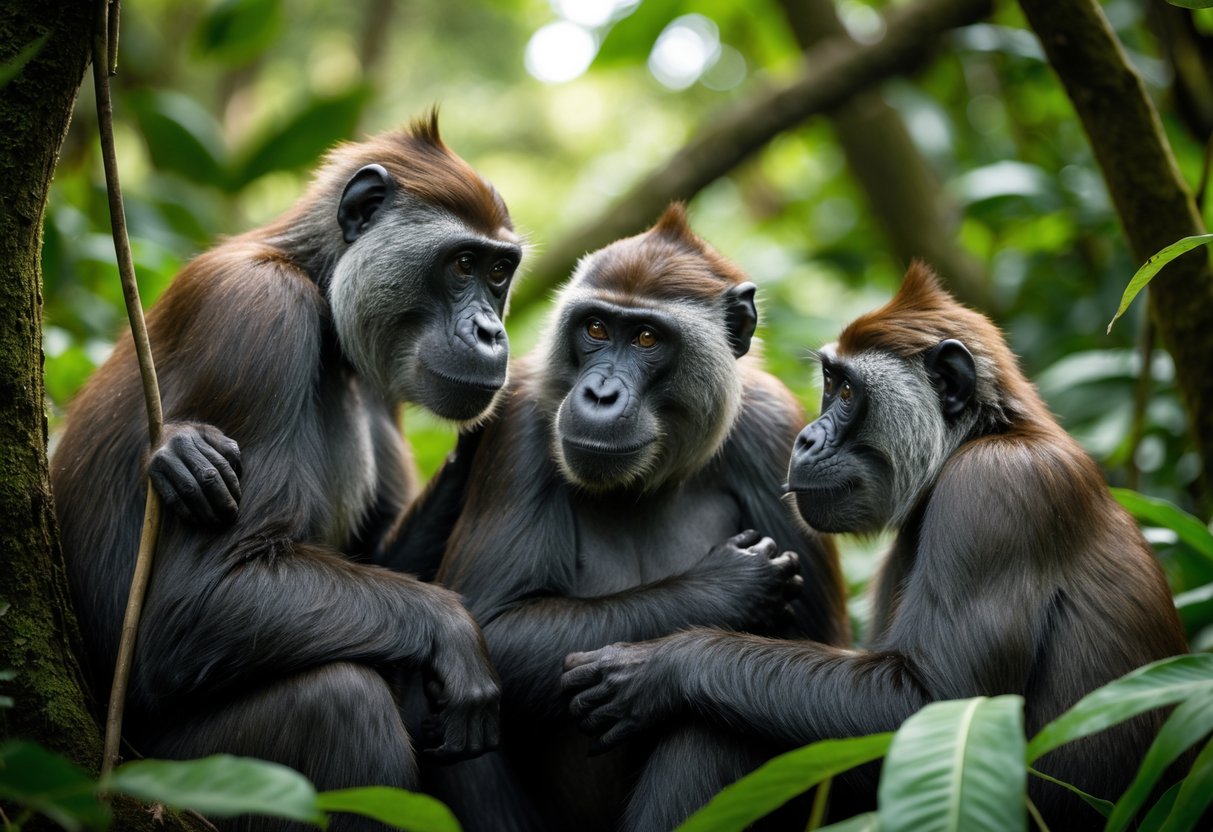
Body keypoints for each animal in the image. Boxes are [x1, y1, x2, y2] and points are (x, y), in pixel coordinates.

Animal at [51, 113, 520, 831]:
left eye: (499, 273)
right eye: (463, 263)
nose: (492, 332)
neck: (319, 292)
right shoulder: (256, 313)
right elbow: (197, 596)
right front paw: (451, 627)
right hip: (168, 773)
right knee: (341, 701)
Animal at [424, 204, 848, 832]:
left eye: (647, 337)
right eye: (596, 329)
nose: (599, 393)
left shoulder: (776, 434)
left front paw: (653, 678)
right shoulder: (521, 411)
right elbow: (490, 628)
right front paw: (723, 589)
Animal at [562, 262, 1189, 830]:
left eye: (845, 391)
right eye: (828, 384)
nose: (806, 438)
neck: (985, 435)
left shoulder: (998, 492)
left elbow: (931, 703)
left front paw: (661, 666)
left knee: (714, 722)